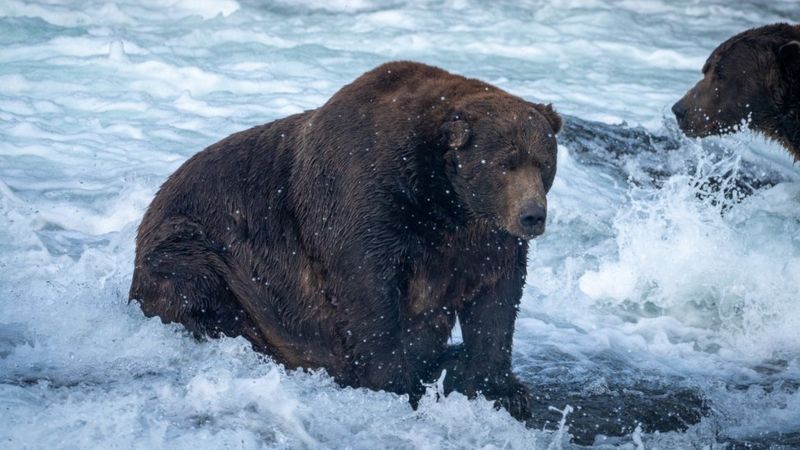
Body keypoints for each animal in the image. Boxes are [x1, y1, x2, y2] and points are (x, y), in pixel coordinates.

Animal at [129, 61, 562, 420]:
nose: (532, 215)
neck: (443, 201)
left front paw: (503, 389)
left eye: (544, 163)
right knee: (196, 282)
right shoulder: (367, 198)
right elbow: (367, 289)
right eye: (504, 164)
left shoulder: (483, 239)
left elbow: (496, 299)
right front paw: (396, 383)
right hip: (198, 242)